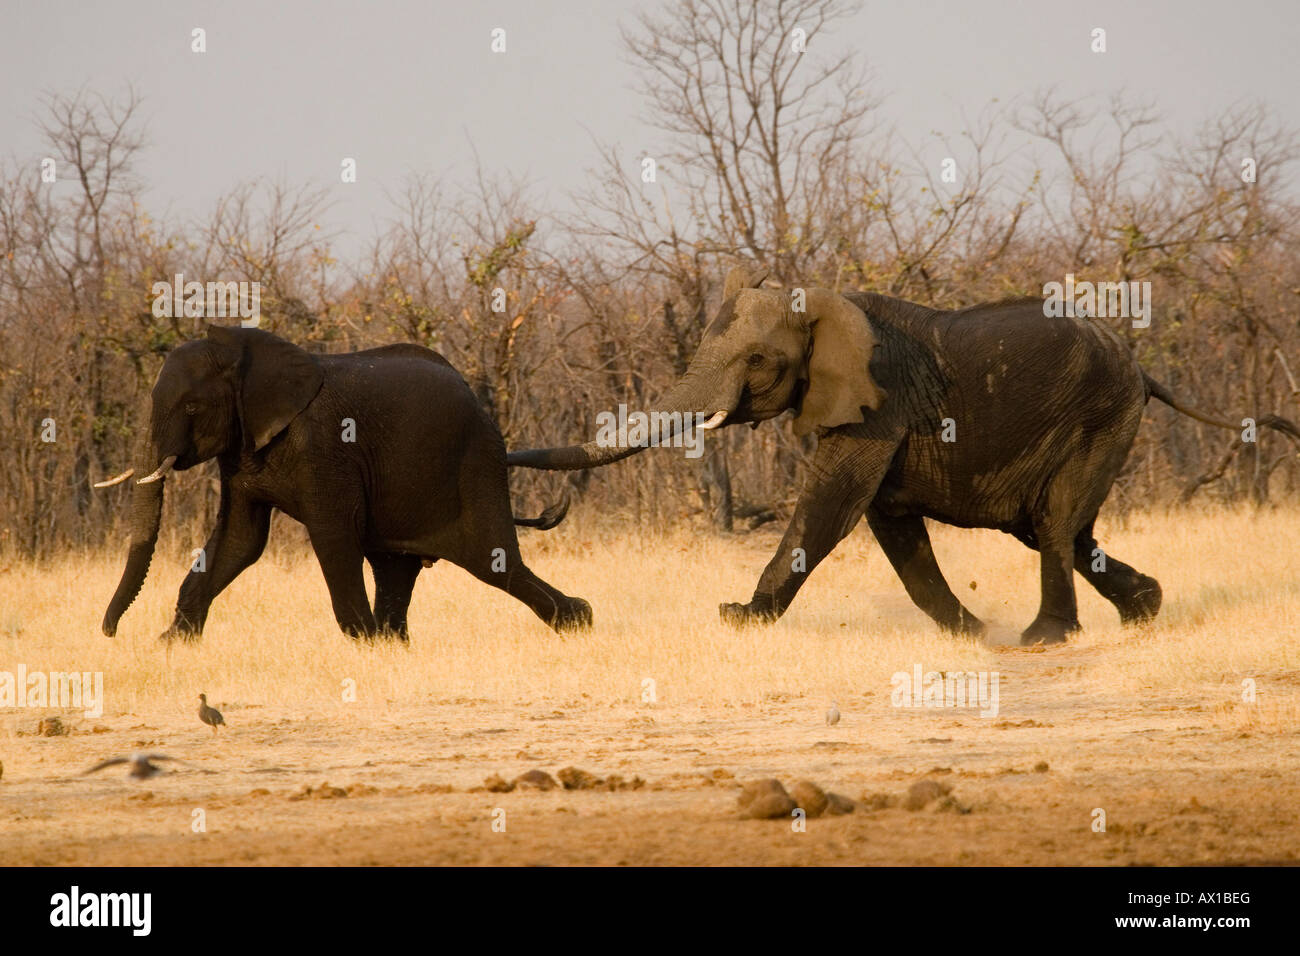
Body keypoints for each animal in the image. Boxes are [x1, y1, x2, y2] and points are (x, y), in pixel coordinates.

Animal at [100, 326, 592, 641]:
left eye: (190, 407)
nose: (111, 632)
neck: (247, 356)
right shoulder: (239, 451)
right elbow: (240, 540)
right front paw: (171, 642)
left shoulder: (324, 449)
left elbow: (332, 534)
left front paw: (362, 641)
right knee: (396, 569)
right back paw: (394, 642)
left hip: (476, 463)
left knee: (495, 562)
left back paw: (580, 620)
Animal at [508, 266, 1300, 645]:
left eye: (759, 361)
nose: (550, 502)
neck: (822, 299)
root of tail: (1142, 368)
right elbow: (889, 523)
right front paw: (972, 636)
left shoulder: (876, 404)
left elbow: (832, 507)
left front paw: (738, 618)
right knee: (1058, 526)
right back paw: (1144, 609)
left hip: (1101, 417)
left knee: (1053, 521)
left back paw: (1045, 637)